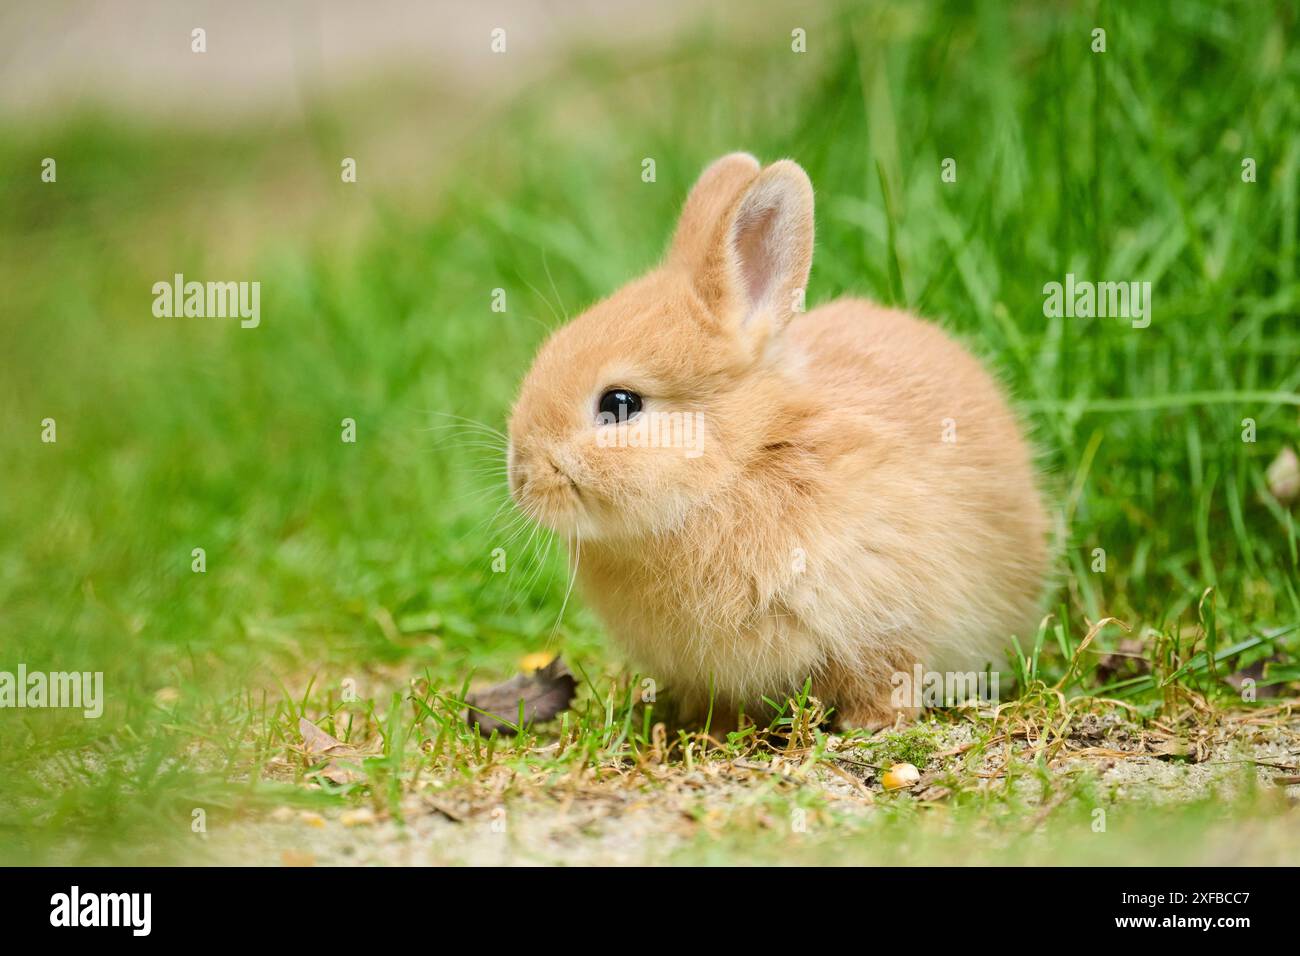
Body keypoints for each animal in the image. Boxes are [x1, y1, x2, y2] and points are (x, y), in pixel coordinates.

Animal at [506, 153, 1049, 730]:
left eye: (621, 403)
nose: (522, 478)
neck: (742, 463)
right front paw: (710, 730)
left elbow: (889, 670)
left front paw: (871, 724)